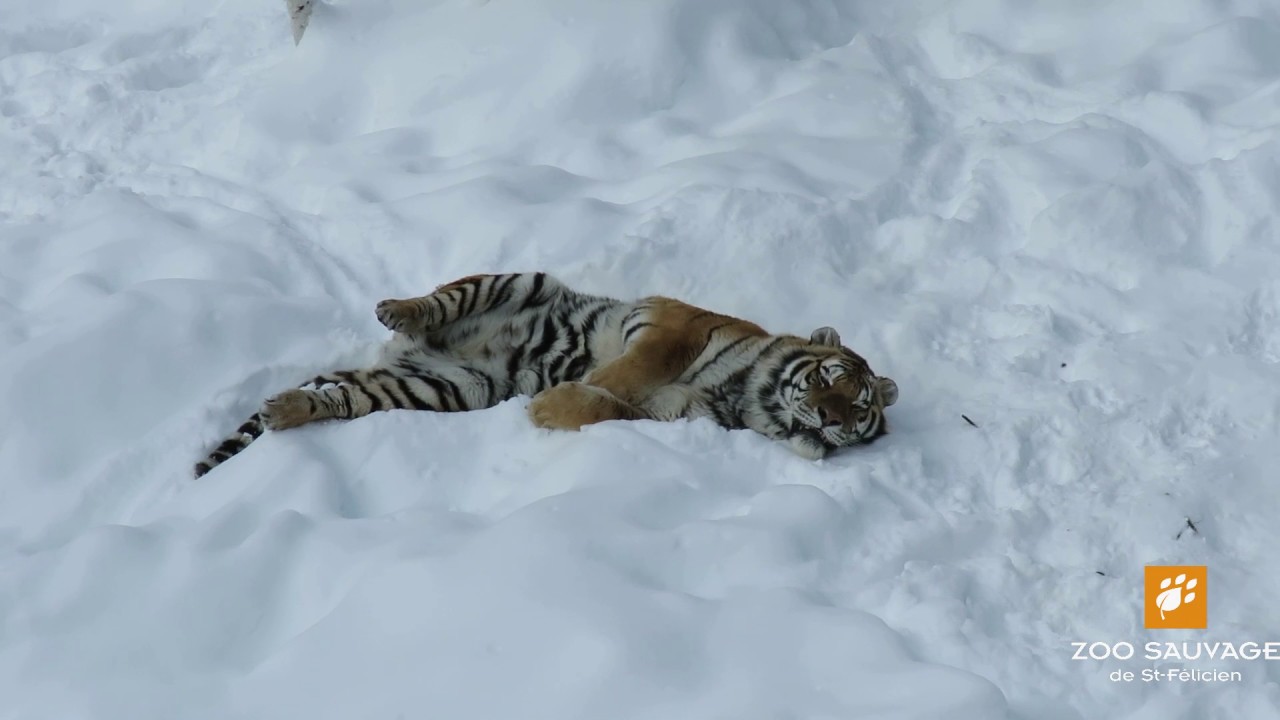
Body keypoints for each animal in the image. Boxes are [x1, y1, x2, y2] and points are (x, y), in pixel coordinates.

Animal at [194, 272, 898, 477]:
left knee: (338, 401)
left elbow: (608, 404)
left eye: (860, 410)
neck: (745, 398)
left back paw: (287, 410)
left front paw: (551, 406)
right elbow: (622, 374)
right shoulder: (674, 327)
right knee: (433, 303)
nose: (832, 422)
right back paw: (398, 308)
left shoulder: (667, 412)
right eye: (830, 380)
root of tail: (397, 353)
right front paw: (551, 400)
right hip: (519, 279)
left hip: (444, 389)